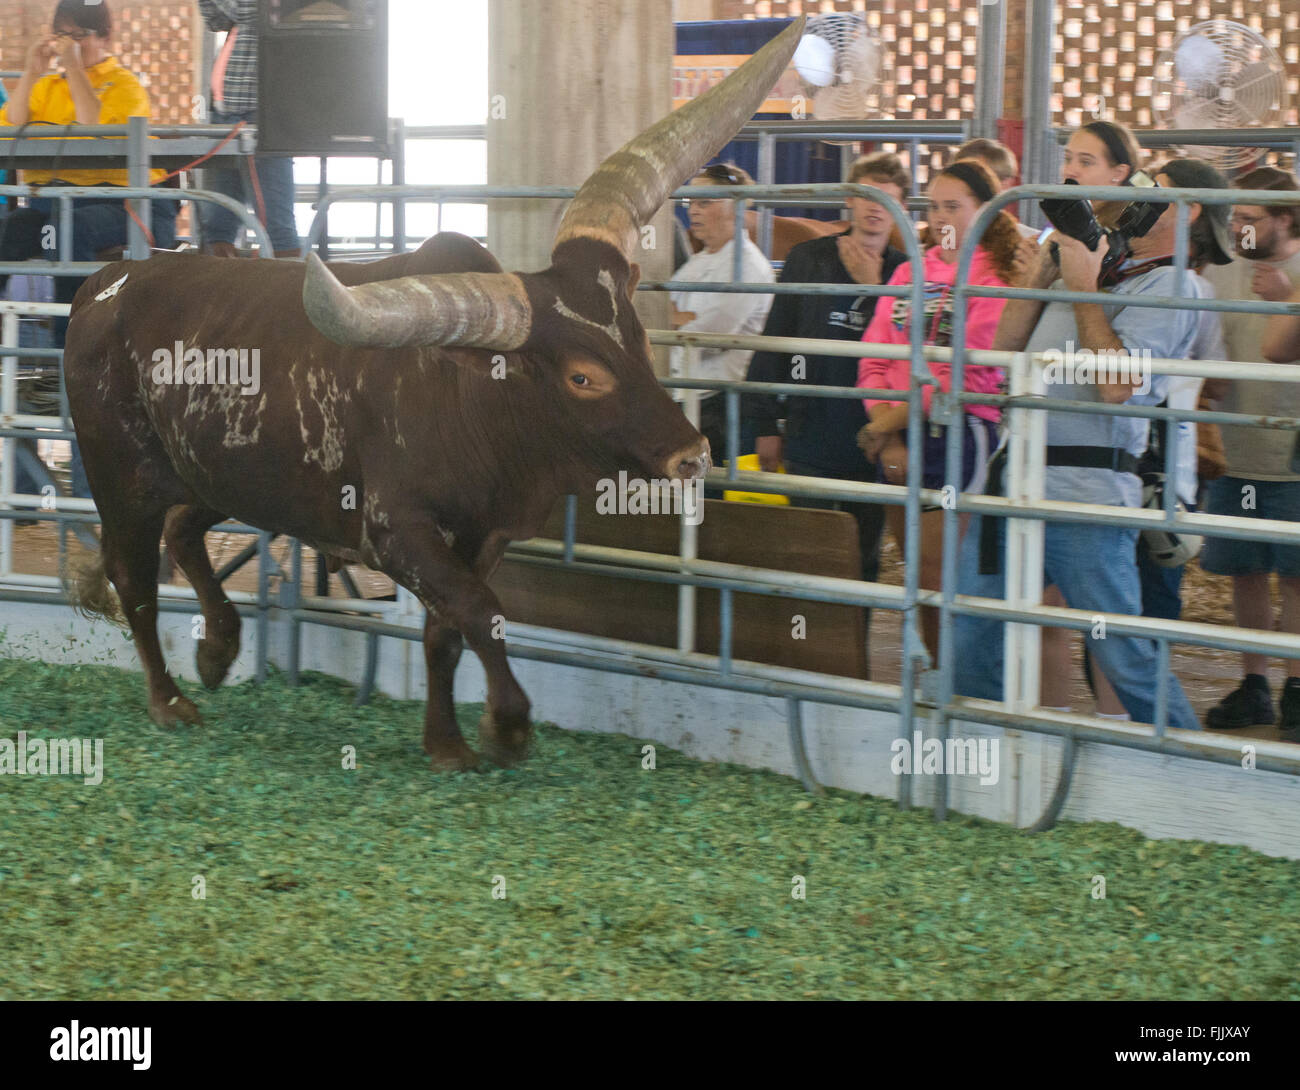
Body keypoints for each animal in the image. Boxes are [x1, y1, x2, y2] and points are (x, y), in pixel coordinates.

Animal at [60, 18, 805, 771]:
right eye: (581, 377)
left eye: (638, 337)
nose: (692, 454)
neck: (476, 402)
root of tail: (107, 283)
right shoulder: (399, 533)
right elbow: (481, 612)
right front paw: (508, 725)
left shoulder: (484, 535)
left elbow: (447, 633)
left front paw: (446, 741)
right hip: (121, 478)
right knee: (134, 579)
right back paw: (169, 700)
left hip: (229, 473)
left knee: (185, 528)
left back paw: (218, 649)